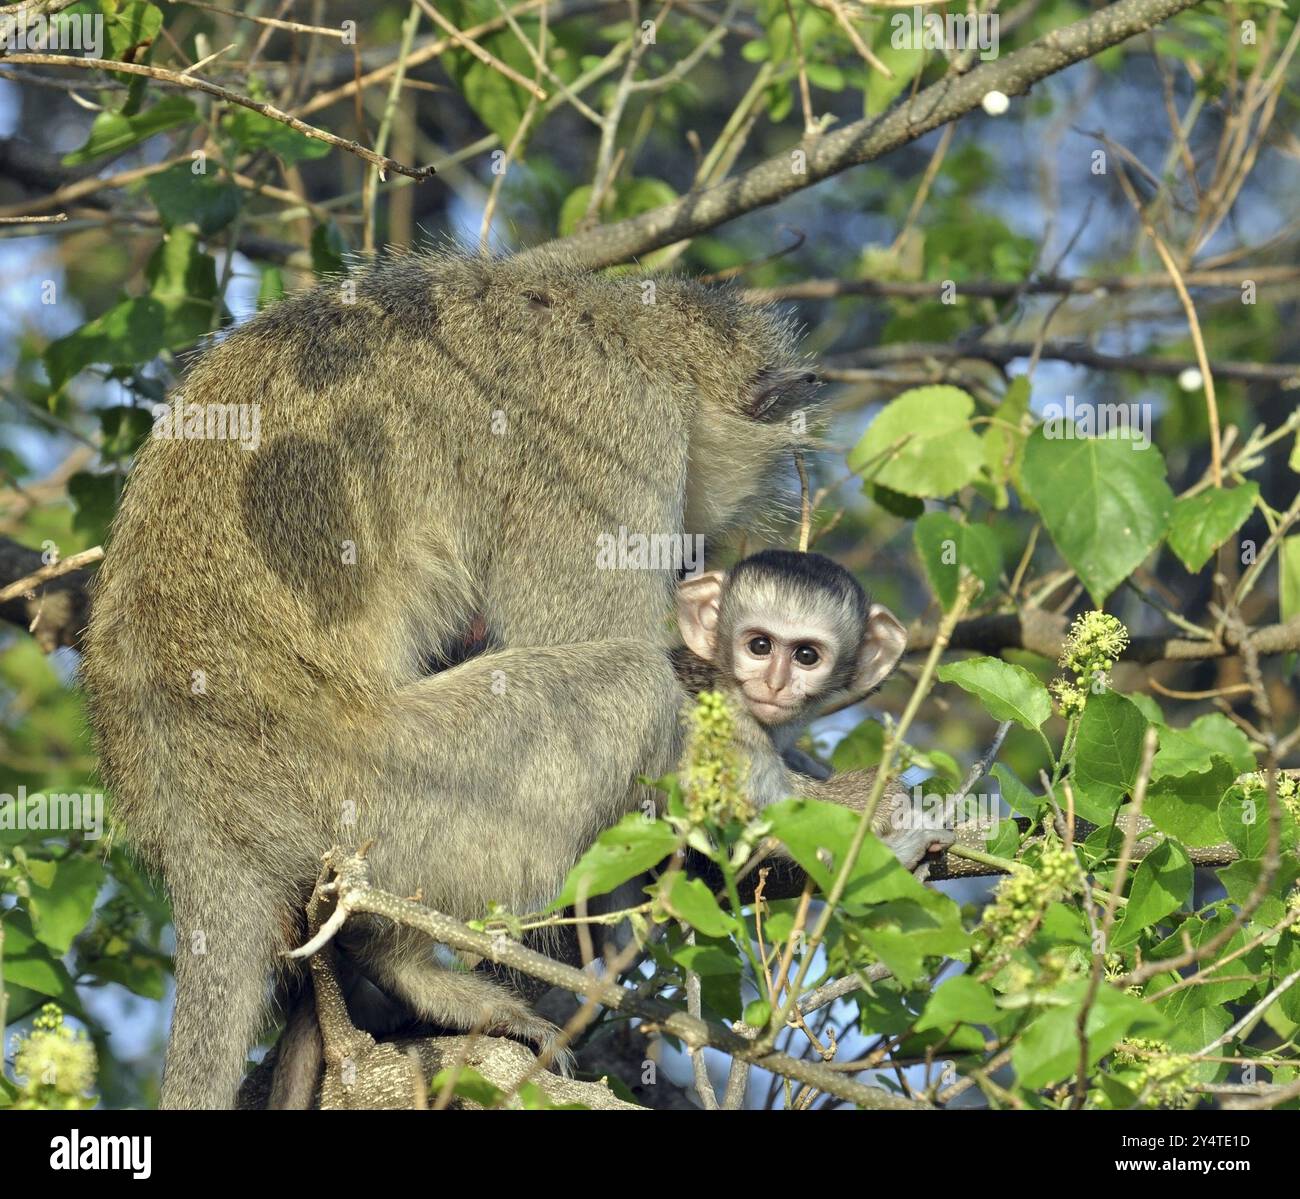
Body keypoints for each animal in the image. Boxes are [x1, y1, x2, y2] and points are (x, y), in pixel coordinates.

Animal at [81, 249, 848, 1109]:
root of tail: (201, 828)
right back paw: (407, 964)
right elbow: (591, 631)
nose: (694, 551)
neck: (624, 331)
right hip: (383, 794)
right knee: (626, 685)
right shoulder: (607, 426)